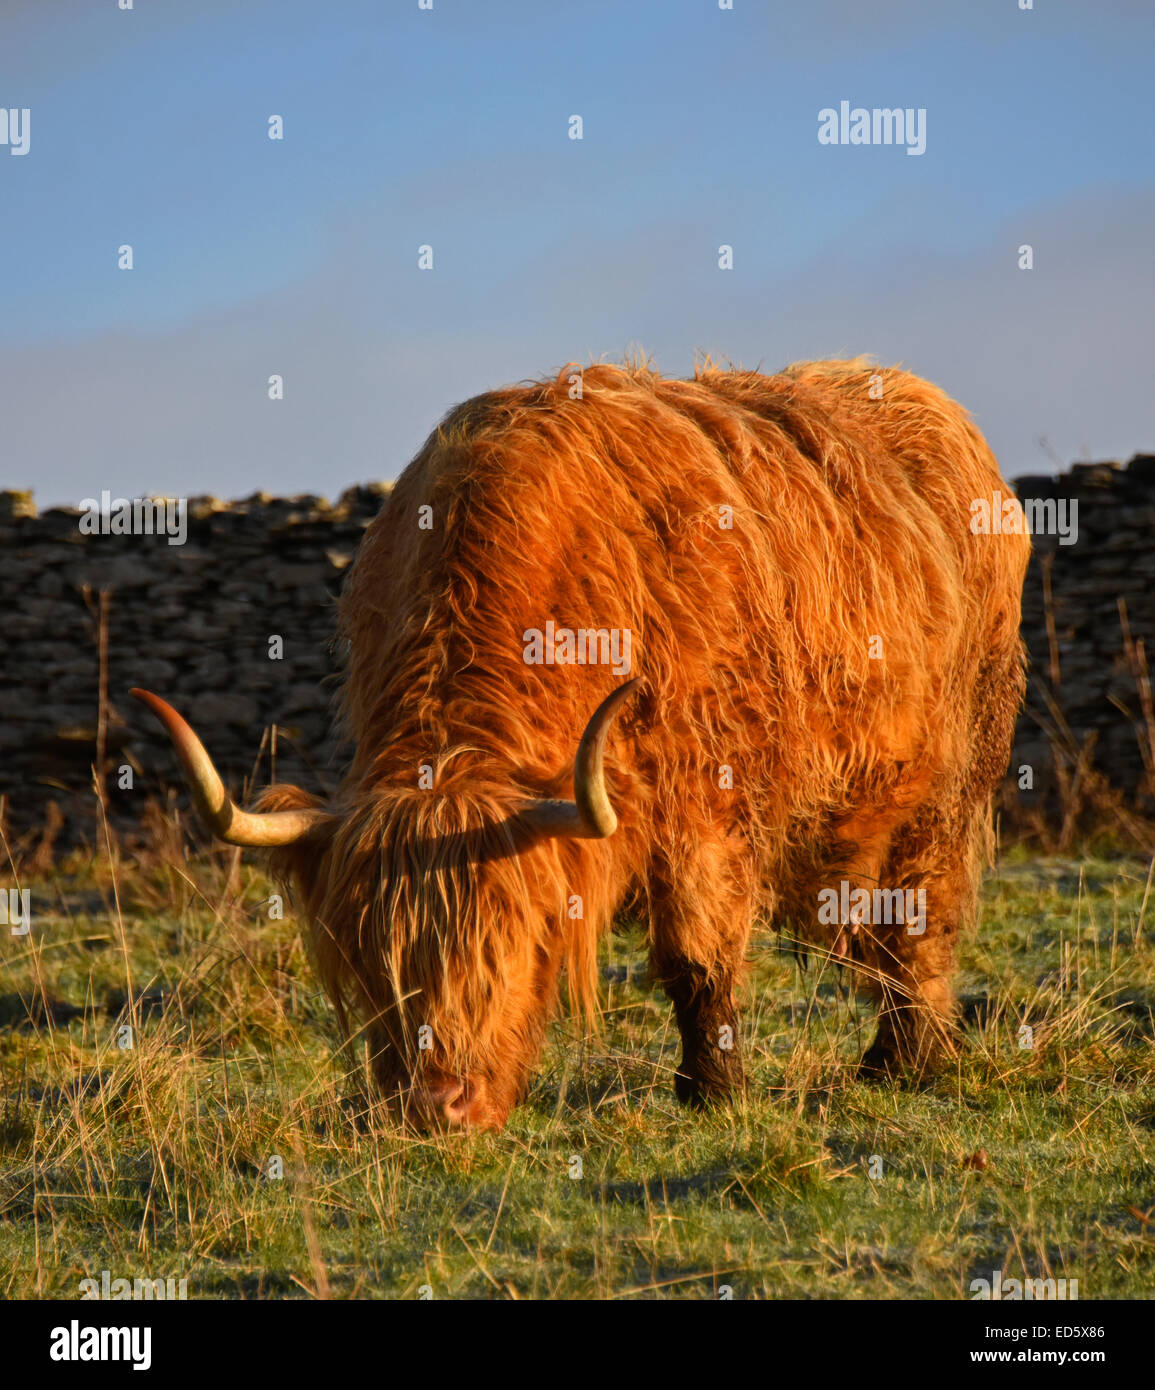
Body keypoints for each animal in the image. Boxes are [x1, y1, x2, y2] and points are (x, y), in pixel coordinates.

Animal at [133, 357, 1030, 1131]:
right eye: (367, 953)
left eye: (511, 940)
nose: (435, 1106)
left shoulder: (706, 811)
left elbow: (695, 956)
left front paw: (714, 1089)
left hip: (949, 785)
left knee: (919, 921)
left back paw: (910, 1060)